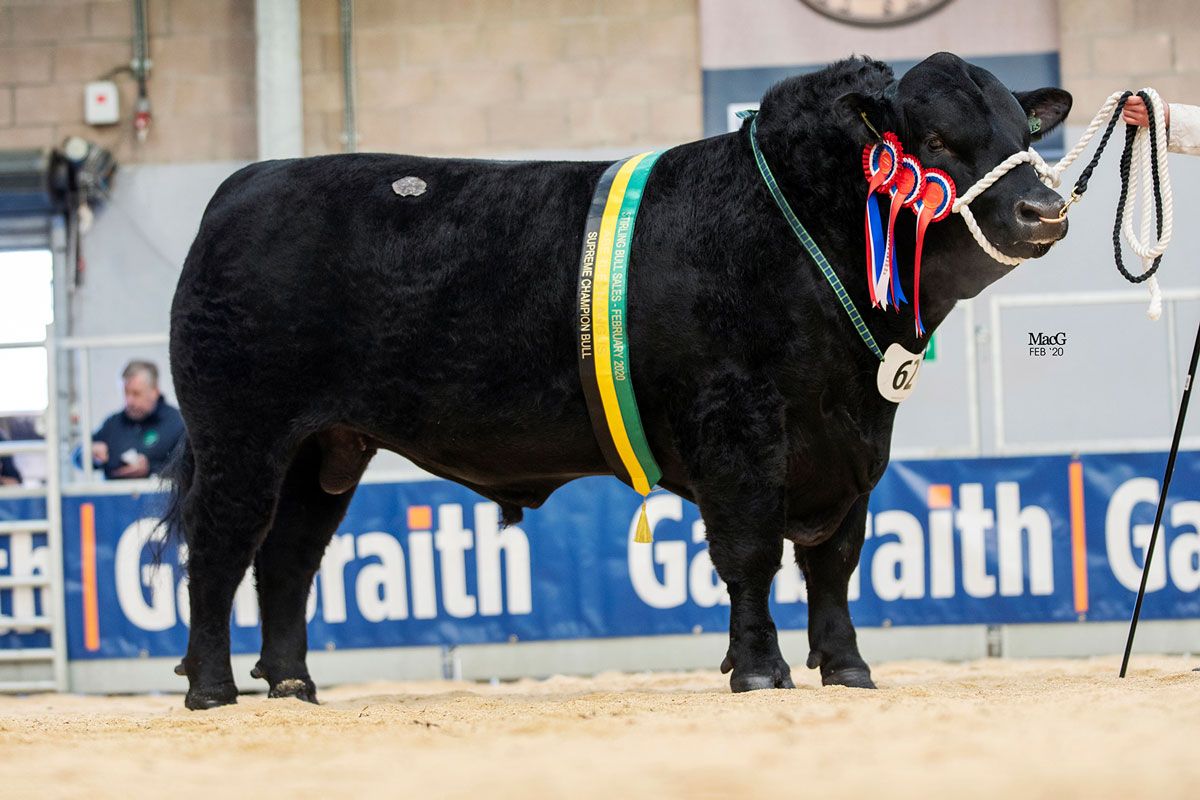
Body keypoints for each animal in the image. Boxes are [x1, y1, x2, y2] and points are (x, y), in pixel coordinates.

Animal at [165, 52, 1071, 709]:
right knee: (220, 546)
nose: (1046, 210)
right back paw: (212, 689)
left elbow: (835, 562)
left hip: (326, 448)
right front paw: (759, 670)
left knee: (287, 557)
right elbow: (751, 552)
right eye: (938, 142)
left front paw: (846, 667)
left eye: (1020, 130)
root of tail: (246, 182)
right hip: (240, 434)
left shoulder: (853, 443)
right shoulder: (737, 428)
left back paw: (292, 684)